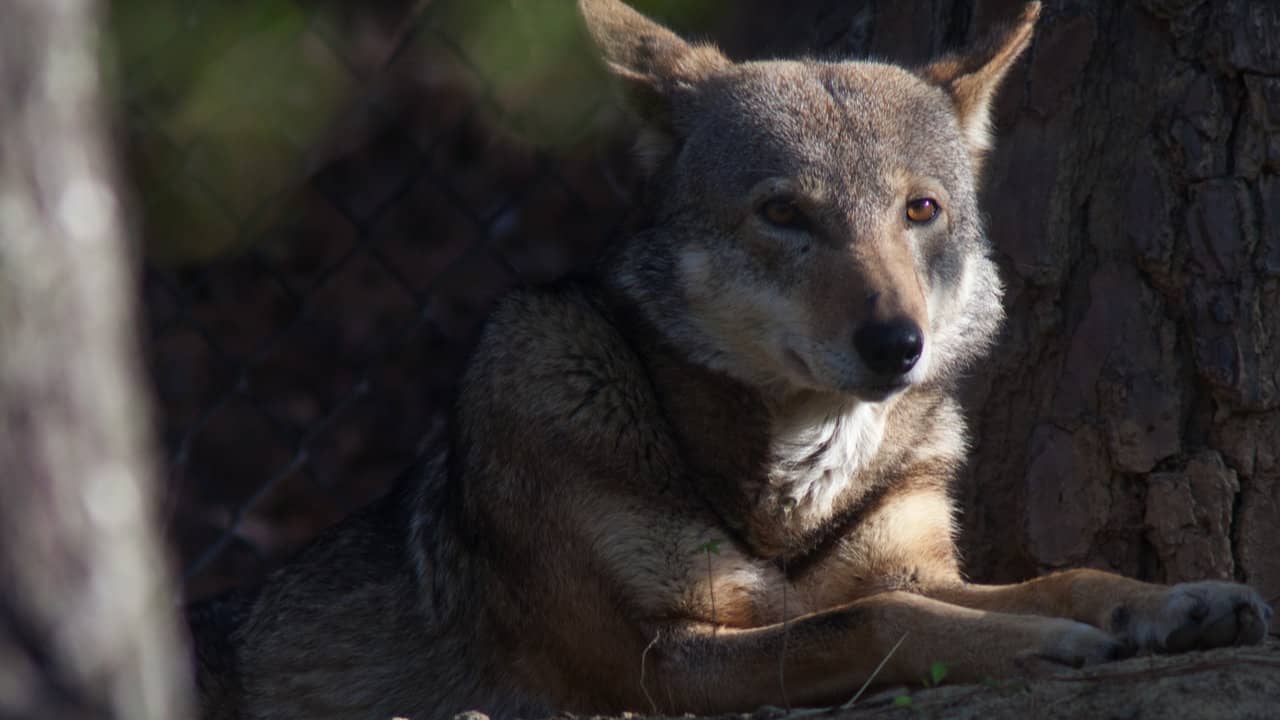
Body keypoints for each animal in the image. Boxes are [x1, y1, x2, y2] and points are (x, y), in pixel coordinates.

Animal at [192, 1, 1273, 718]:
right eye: (784, 213)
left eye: (919, 209)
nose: (897, 345)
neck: (784, 494)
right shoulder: (655, 661)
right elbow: (869, 621)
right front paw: (1046, 644)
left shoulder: (914, 564)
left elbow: (1057, 575)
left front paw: (1171, 600)